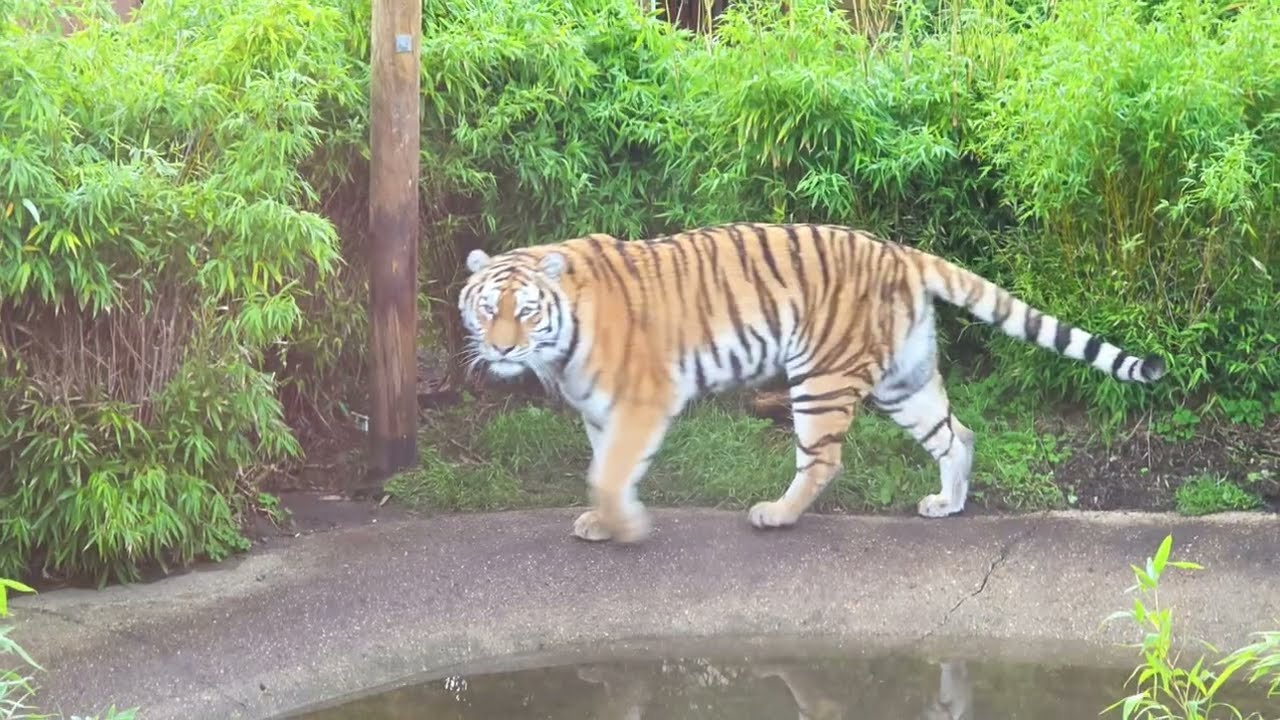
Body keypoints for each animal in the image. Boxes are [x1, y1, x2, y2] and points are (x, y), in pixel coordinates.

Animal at [457, 223, 1167, 543]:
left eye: (525, 312)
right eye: (487, 308)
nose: (501, 348)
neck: (561, 342)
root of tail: (899, 252)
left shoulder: (643, 399)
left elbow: (609, 473)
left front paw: (625, 527)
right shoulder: (599, 410)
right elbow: (605, 467)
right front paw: (606, 524)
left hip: (821, 376)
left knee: (824, 459)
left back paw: (777, 514)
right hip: (904, 381)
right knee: (956, 433)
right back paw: (948, 503)